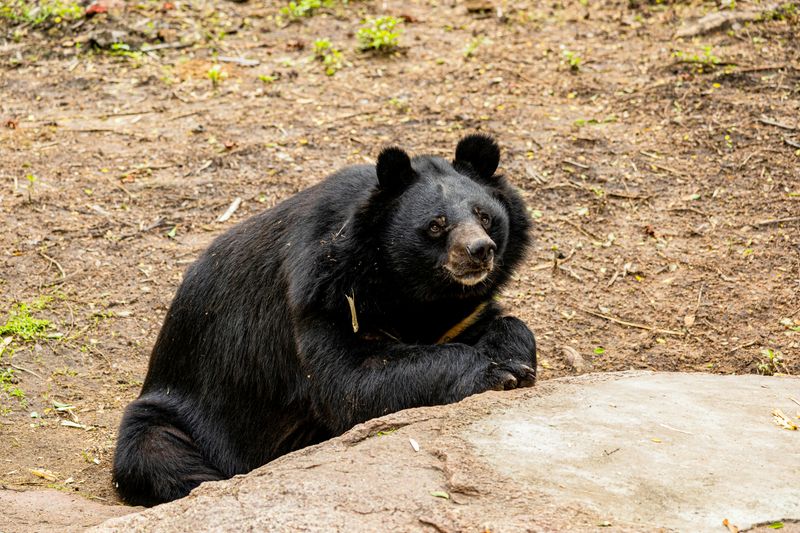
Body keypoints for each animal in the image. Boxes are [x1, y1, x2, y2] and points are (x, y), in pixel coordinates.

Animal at [112, 134, 537, 506]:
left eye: (485, 216)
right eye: (436, 225)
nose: (480, 251)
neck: (413, 288)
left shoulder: (460, 313)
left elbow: (504, 324)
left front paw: (515, 361)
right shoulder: (323, 295)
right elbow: (352, 382)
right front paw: (497, 373)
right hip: (175, 412)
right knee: (155, 450)